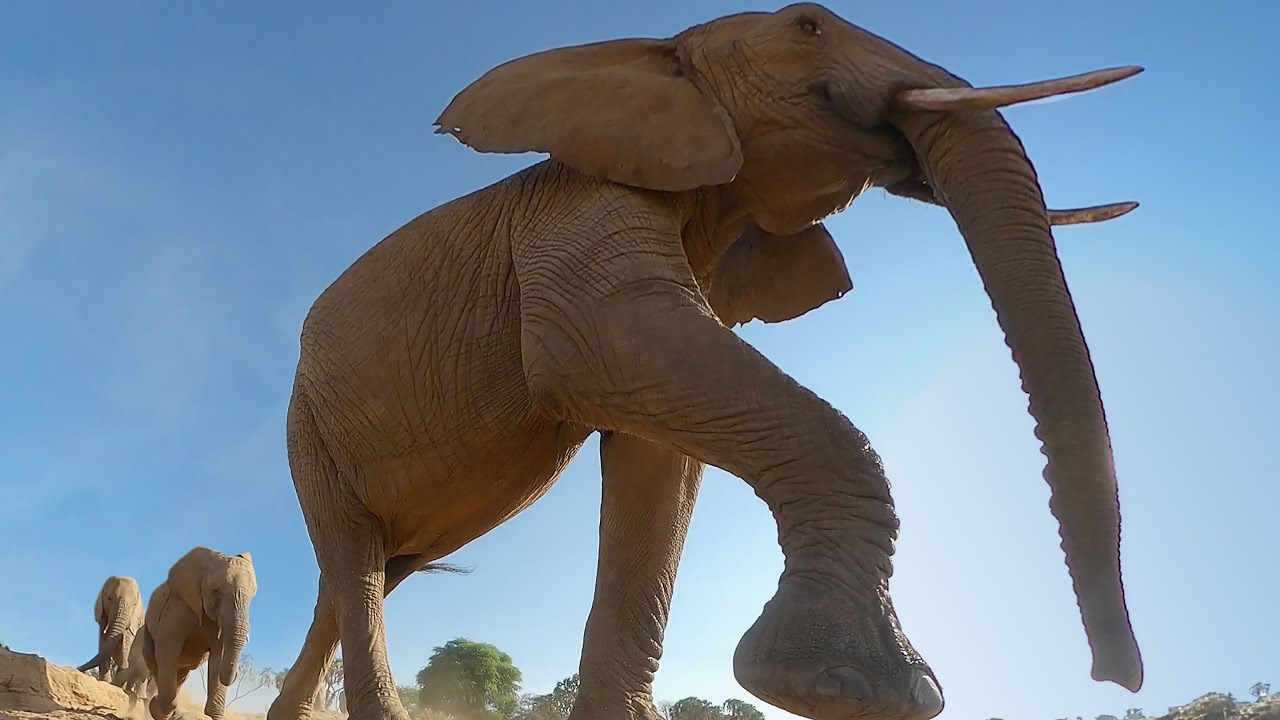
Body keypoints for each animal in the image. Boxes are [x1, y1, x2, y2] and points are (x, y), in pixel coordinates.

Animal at [141, 547, 257, 720]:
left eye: (252, 597)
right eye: (216, 591)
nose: (236, 675)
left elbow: (218, 658)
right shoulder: (178, 605)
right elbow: (167, 649)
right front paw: (156, 708)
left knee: (181, 675)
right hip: (147, 631)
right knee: (157, 663)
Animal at [266, 4, 1146, 720]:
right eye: (808, 25)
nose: (1114, 674)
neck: (655, 54)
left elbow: (655, 458)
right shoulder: (574, 217)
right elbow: (602, 357)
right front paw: (848, 690)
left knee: (368, 573)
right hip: (305, 424)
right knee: (356, 562)